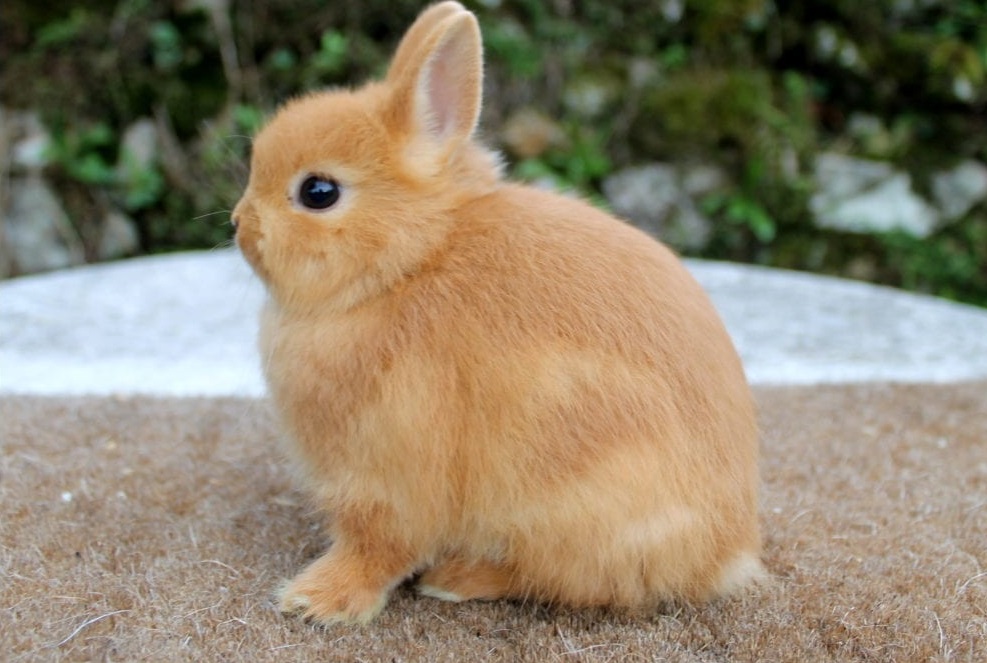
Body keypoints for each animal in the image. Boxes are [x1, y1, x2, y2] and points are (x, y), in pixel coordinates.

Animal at [232, 1, 764, 626]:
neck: (407, 264)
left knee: (560, 579)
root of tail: (726, 553)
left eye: (318, 192)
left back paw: (457, 580)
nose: (239, 225)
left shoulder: (389, 475)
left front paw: (316, 601)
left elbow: (377, 548)